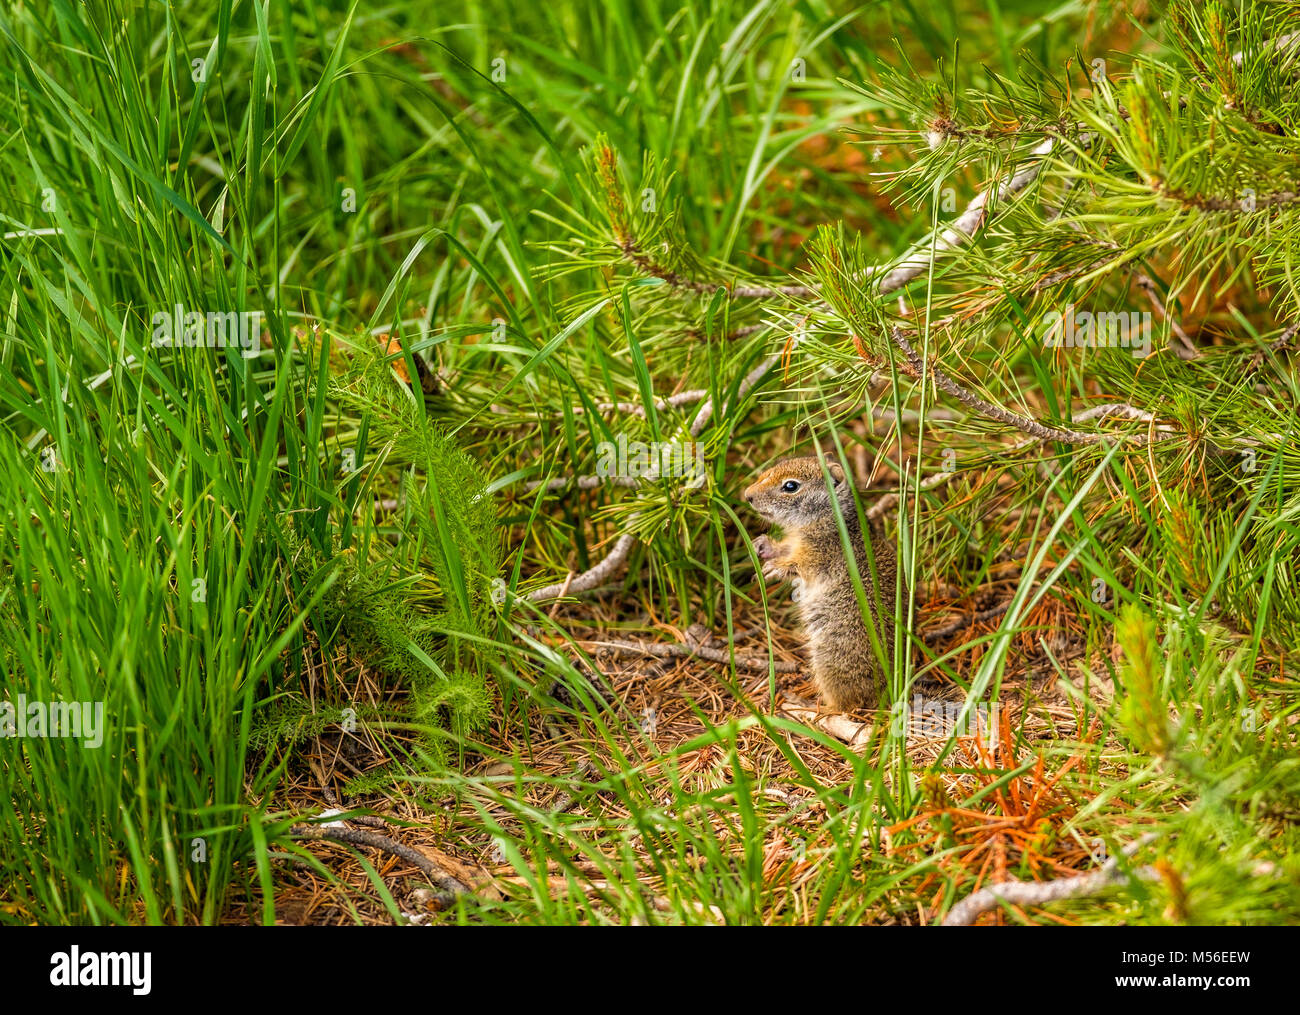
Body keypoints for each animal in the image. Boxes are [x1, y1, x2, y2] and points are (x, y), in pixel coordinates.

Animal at [743, 456, 898, 712]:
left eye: (791, 486)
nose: (748, 495)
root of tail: (885, 693)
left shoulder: (818, 555)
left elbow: (797, 564)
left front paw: (774, 568)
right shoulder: (794, 543)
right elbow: (784, 548)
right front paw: (761, 546)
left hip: (827, 660)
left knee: (841, 705)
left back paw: (802, 703)